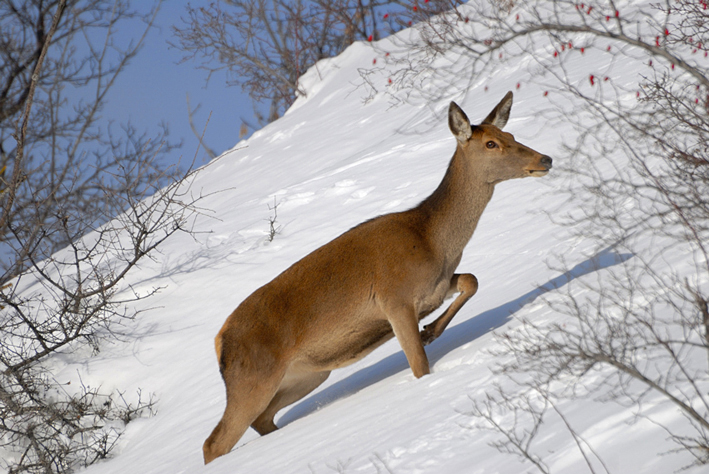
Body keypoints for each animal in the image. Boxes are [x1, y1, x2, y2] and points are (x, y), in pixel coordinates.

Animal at [202, 91, 552, 462]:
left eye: (510, 135)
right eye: (491, 143)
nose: (545, 159)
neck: (432, 241)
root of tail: (219, 341)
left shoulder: (435, 285)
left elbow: (472, 279)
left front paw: (431, 331)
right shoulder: (394, 298)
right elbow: (420, 365)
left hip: (308, 374)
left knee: (263, 419)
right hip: (251, 378)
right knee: (215, 441)